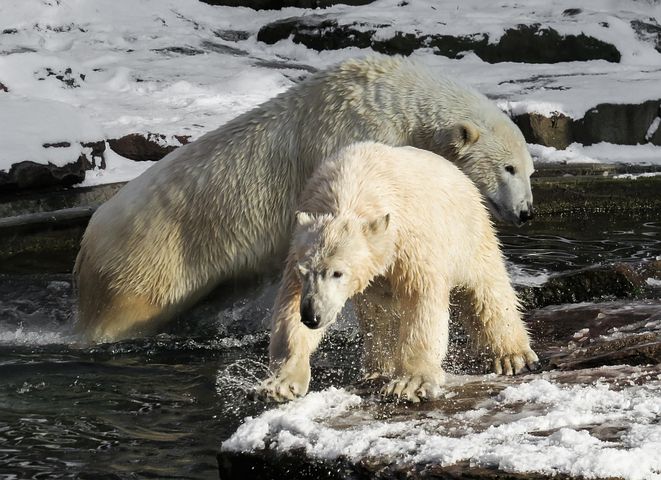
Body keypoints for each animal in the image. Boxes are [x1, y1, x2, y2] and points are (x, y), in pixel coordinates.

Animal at [75, 55, 535, 343]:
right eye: (508, 168)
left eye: (529, 170)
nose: (527, 212)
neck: (392, 102)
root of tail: (86, 243)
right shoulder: (352, 136)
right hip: (150, 262)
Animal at [258, 142, 538, 403]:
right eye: (304, 271)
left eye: (338, 273)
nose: (312, 316)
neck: (351, 186)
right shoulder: (300, 247)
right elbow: (289, 307)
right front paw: (280, 384)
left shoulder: (409, 240)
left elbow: (421, 301)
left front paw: (408, 385)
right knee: (378, 317)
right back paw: (376, 370)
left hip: (469, 234)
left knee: (487, 291)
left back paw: (514, 356)